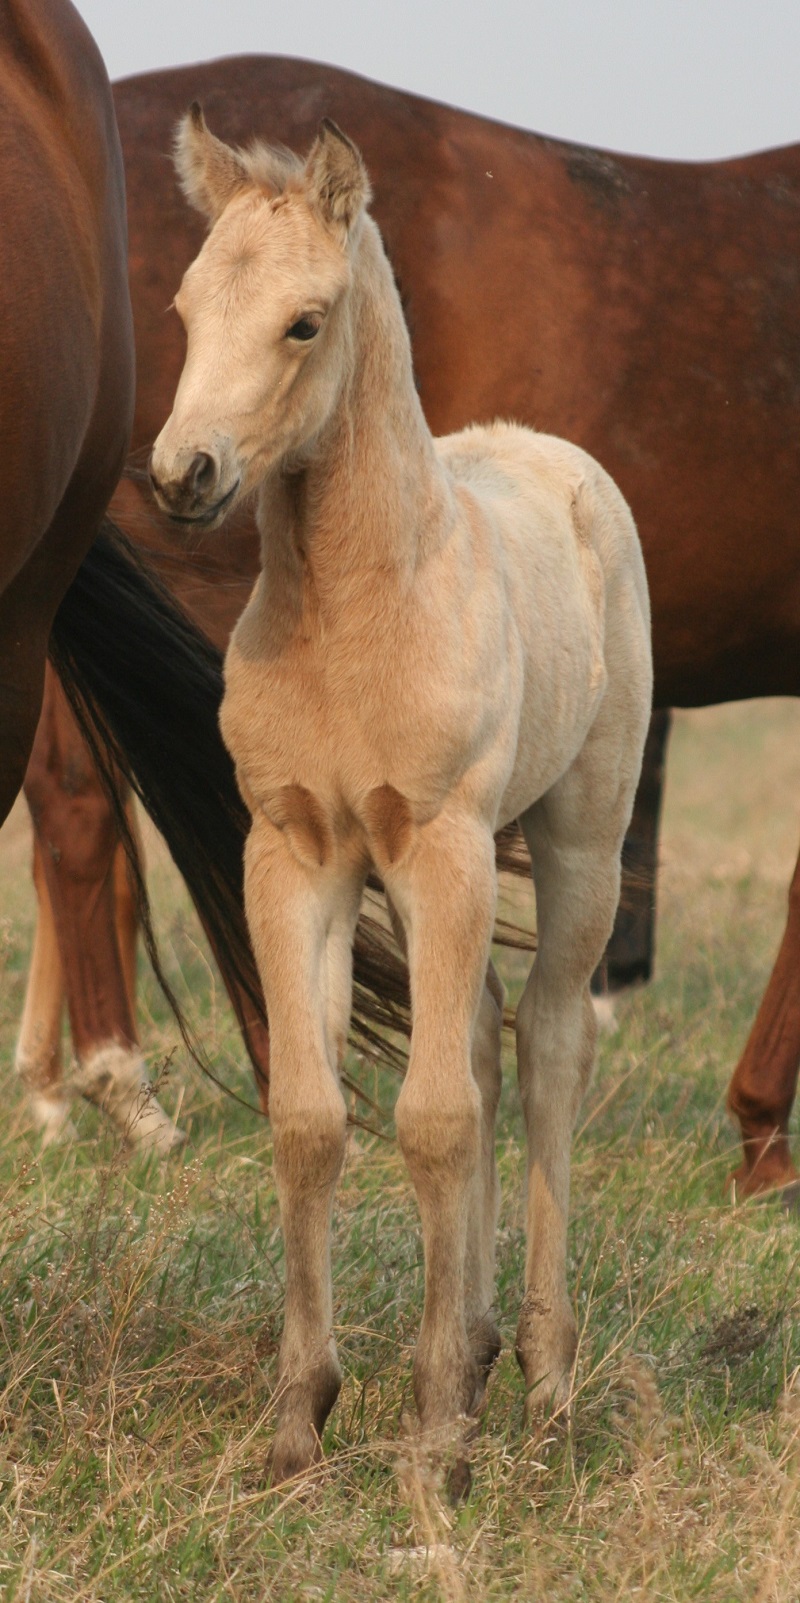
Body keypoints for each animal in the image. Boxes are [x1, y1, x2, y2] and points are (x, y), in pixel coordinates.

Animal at [149, 108, 652, 1485]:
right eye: (185, 306)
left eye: (303, 321)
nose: (181, 473)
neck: (348, 607)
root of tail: (547, 450)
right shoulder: (292, 851)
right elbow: (311, 1116)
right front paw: (296, 1423)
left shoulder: (443, 845)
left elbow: (430, 1118)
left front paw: (433, 1442)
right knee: (474, 1033)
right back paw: (475, 1351)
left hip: (574, 839)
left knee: (541, 1049)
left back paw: (539, 1380)